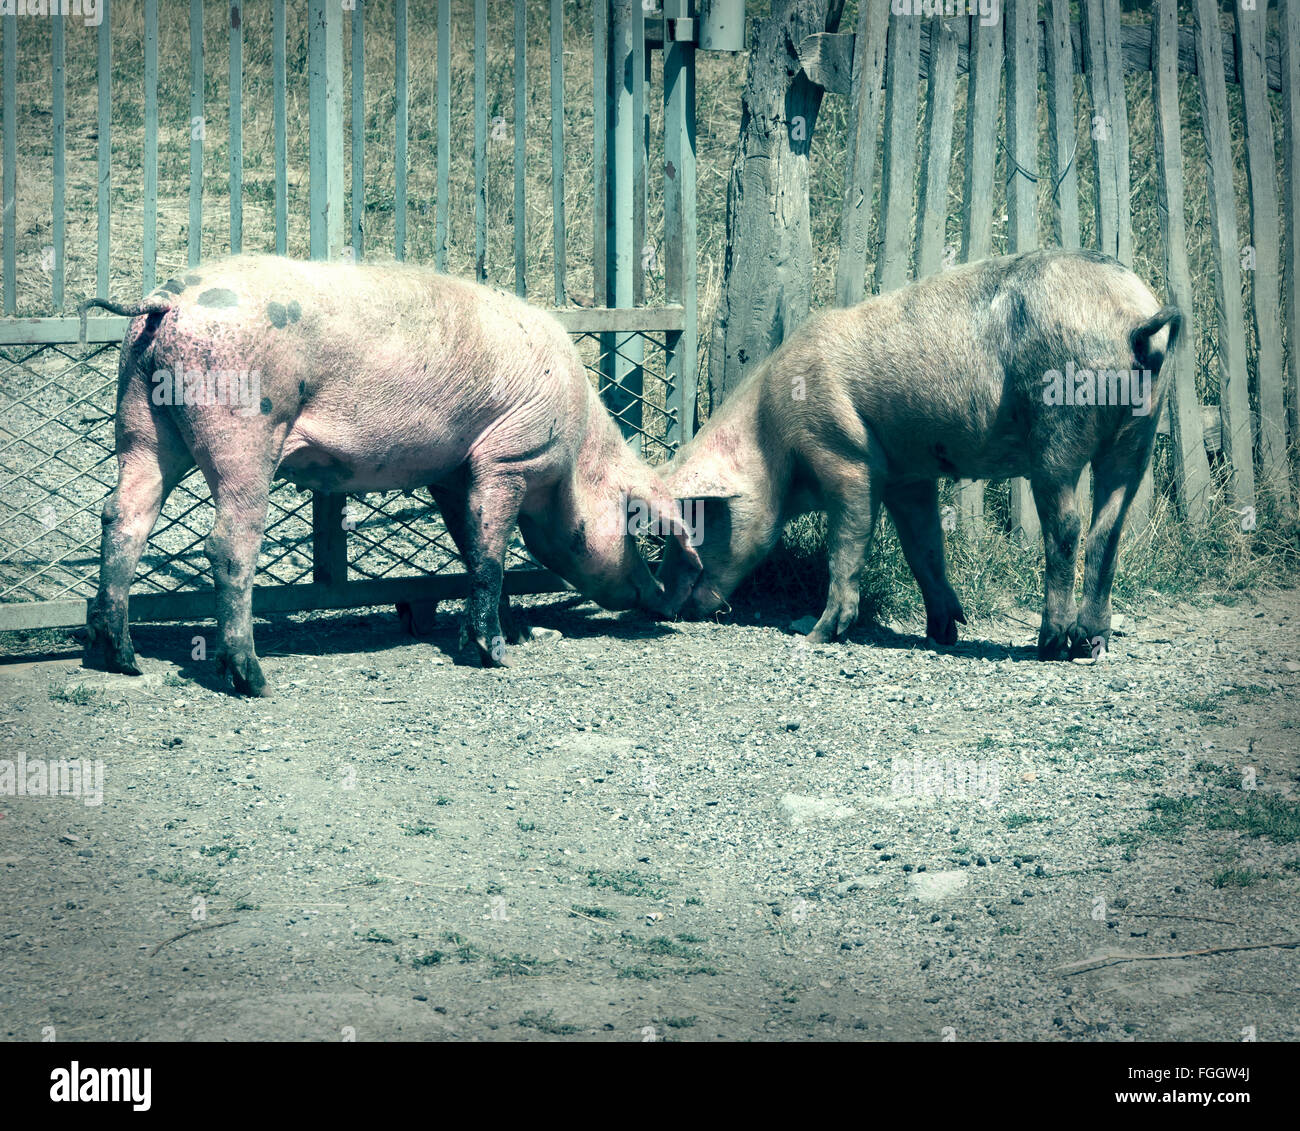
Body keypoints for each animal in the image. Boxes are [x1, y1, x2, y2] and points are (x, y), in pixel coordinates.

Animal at [79, 255, 700, 695]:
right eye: (635, 524)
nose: (661, 599)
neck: (575, 452)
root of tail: (166, 302)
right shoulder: (509, 457)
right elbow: (493, 556)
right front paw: (495, 653)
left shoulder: (452, 472)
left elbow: (474, 549)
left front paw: (502, 633)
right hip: (244, 430)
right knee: (227, 543)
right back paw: (253, 681)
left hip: (140, 419)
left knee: (121, 516)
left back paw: (124, 661)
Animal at [658, 249, 1181, 660]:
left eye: (699, 518)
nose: (664, 604)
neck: (771, 437)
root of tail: (1132, 316)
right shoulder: (908, 476)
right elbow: (924, 547)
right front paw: (943, 634)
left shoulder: (845, 455)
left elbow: (845, 545)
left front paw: (814, 638)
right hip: (1140, 431)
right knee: (1107, 529)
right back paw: (1091, 644)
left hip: (1059, 426)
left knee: (1067, 528)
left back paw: (1049, 645)